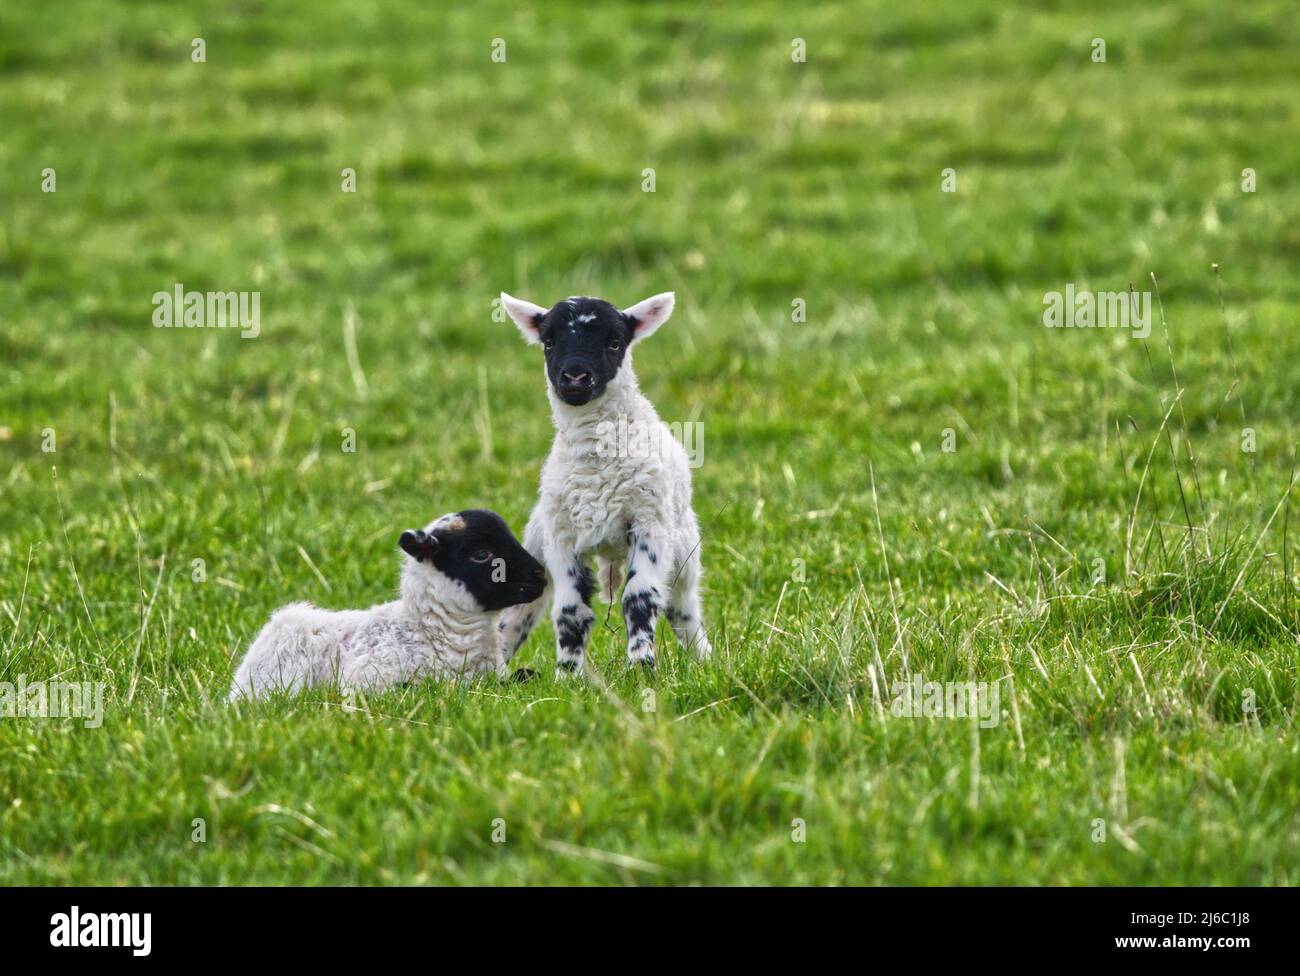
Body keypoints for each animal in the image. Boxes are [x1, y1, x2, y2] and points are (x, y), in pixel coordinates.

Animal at [496, 291, 713, 674]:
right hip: (536, 544)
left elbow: (640, 599)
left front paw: (642, 667)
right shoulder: (561, 536)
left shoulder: (649, 523)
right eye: (549, 342)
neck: (595, 462)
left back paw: (708, 663)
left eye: (614, 342)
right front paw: (567, 675)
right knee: (516, 615)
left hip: (683, 548)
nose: (575, 376)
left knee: (683, 610)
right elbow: (569, 611)